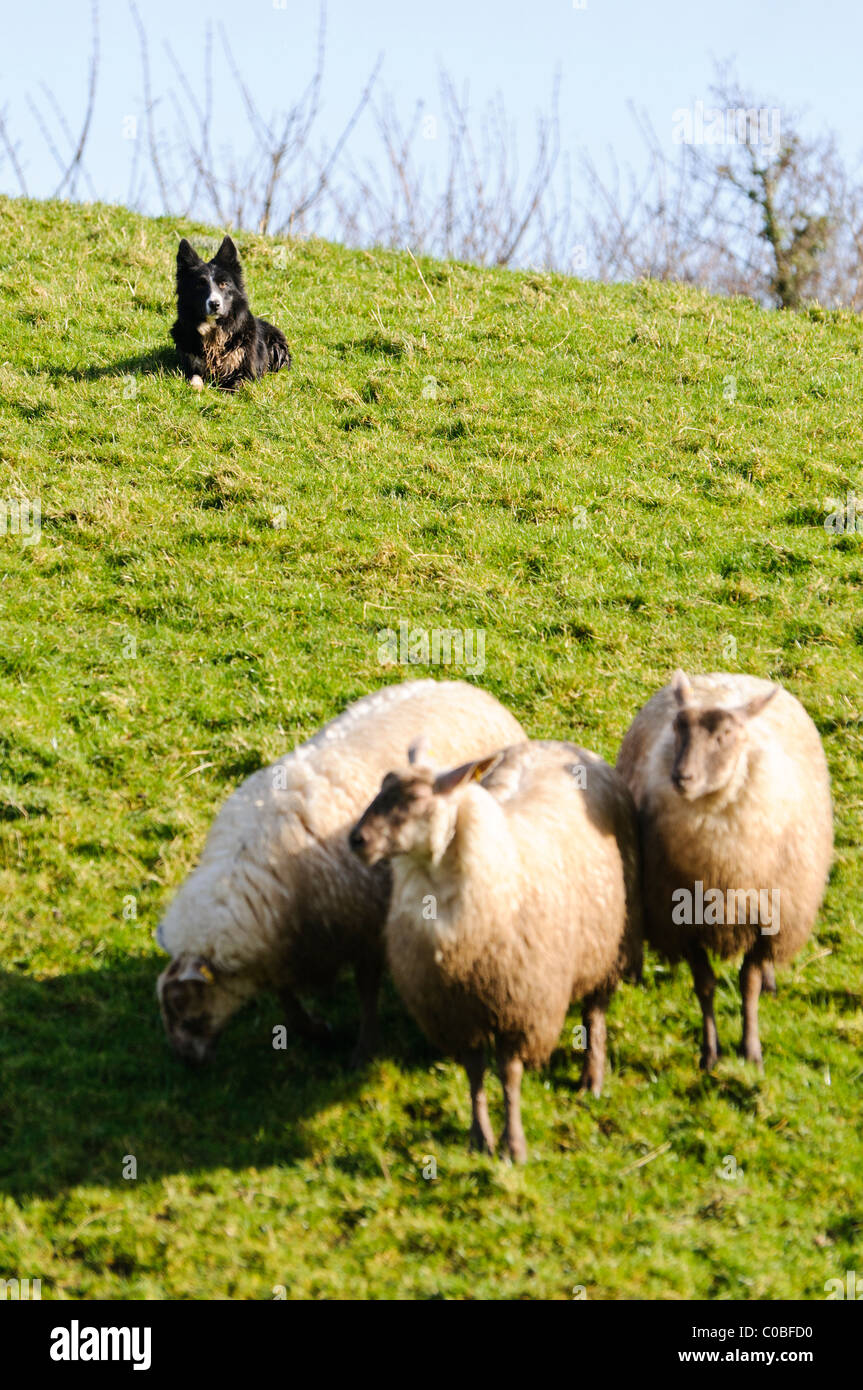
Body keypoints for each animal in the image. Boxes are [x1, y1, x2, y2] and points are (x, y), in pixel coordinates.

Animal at [155, 680, 525, 1067]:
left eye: (184, 1006)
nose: (186, 1061)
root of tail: (467, 688)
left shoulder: (364, 925)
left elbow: (366, 990)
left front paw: (363, 1049)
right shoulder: (283, 948)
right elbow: (285, 996)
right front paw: (314, 1030)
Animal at [348, 739, 642, 1162]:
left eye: (416, 798)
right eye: (380, 787)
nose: (356, 840)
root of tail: (557, 743)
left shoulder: (520, 1005)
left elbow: (509, 1074)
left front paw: (513, 1143)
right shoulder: (456, 1011)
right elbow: (474, 1073)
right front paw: (478, 1137)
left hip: (610, 942)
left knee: (594, 1012)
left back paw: (592, 1077)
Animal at [616, 670, 833, 1070]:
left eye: (725, 734)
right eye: (678, 727)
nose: (682, 777)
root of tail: (727, 675)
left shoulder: (767, 919)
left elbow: (748, 983)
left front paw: (751, 1050)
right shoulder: (681, 924)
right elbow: (705, 984)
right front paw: (710, 1053)